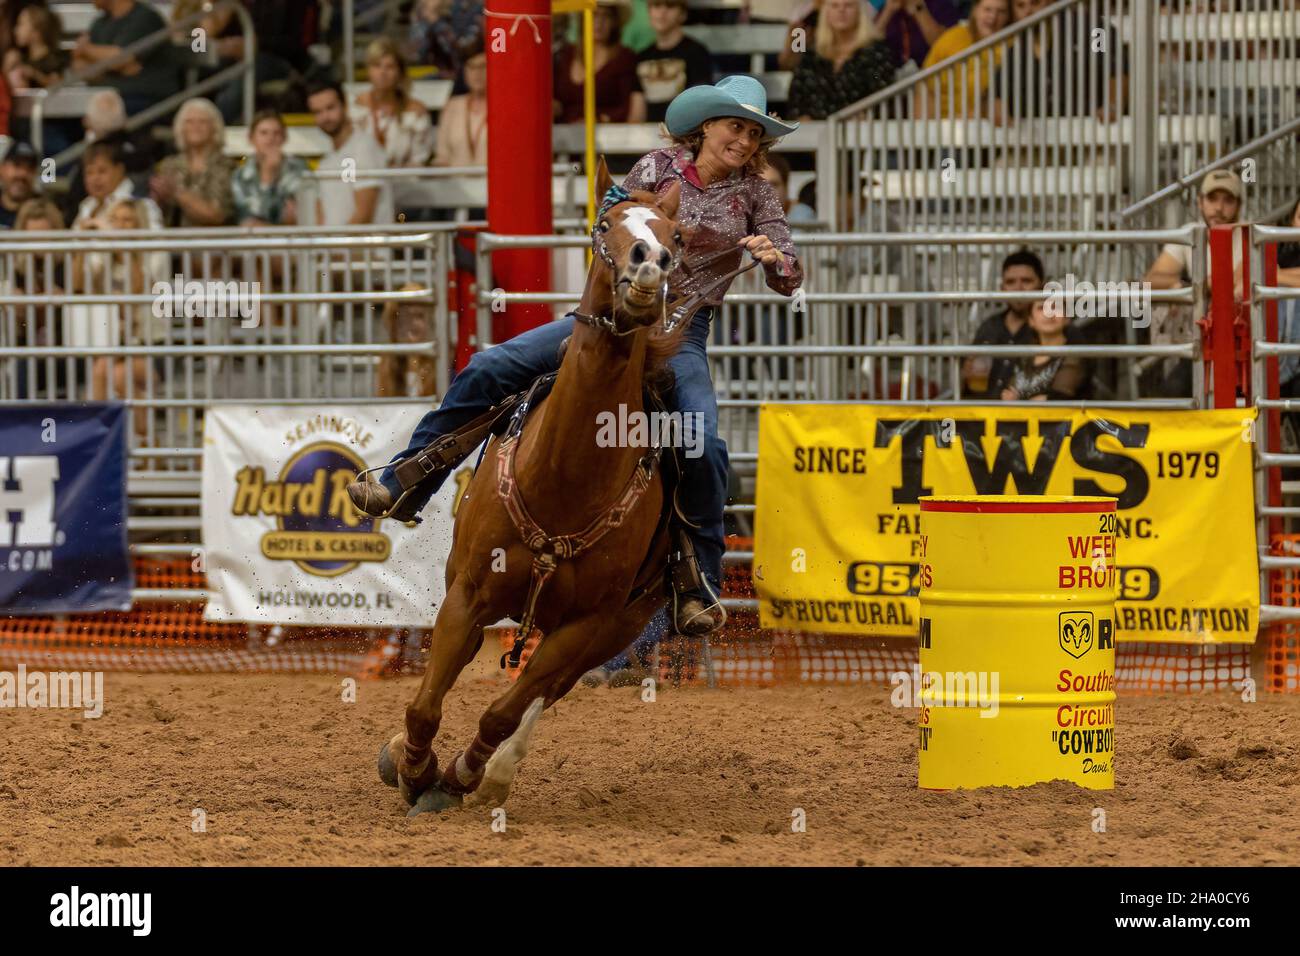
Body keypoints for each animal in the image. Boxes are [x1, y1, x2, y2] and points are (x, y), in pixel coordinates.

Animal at [379, 158, 691, 816]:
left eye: (676, 237)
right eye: (605, 224)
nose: (650, 265)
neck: (563, 480)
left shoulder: (586, 626)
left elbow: (502, 711)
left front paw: (457, 775)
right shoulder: (468, 595)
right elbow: (424, 706)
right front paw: (411, 767)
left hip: (619, 628)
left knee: (544, 694)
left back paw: (495, 772)